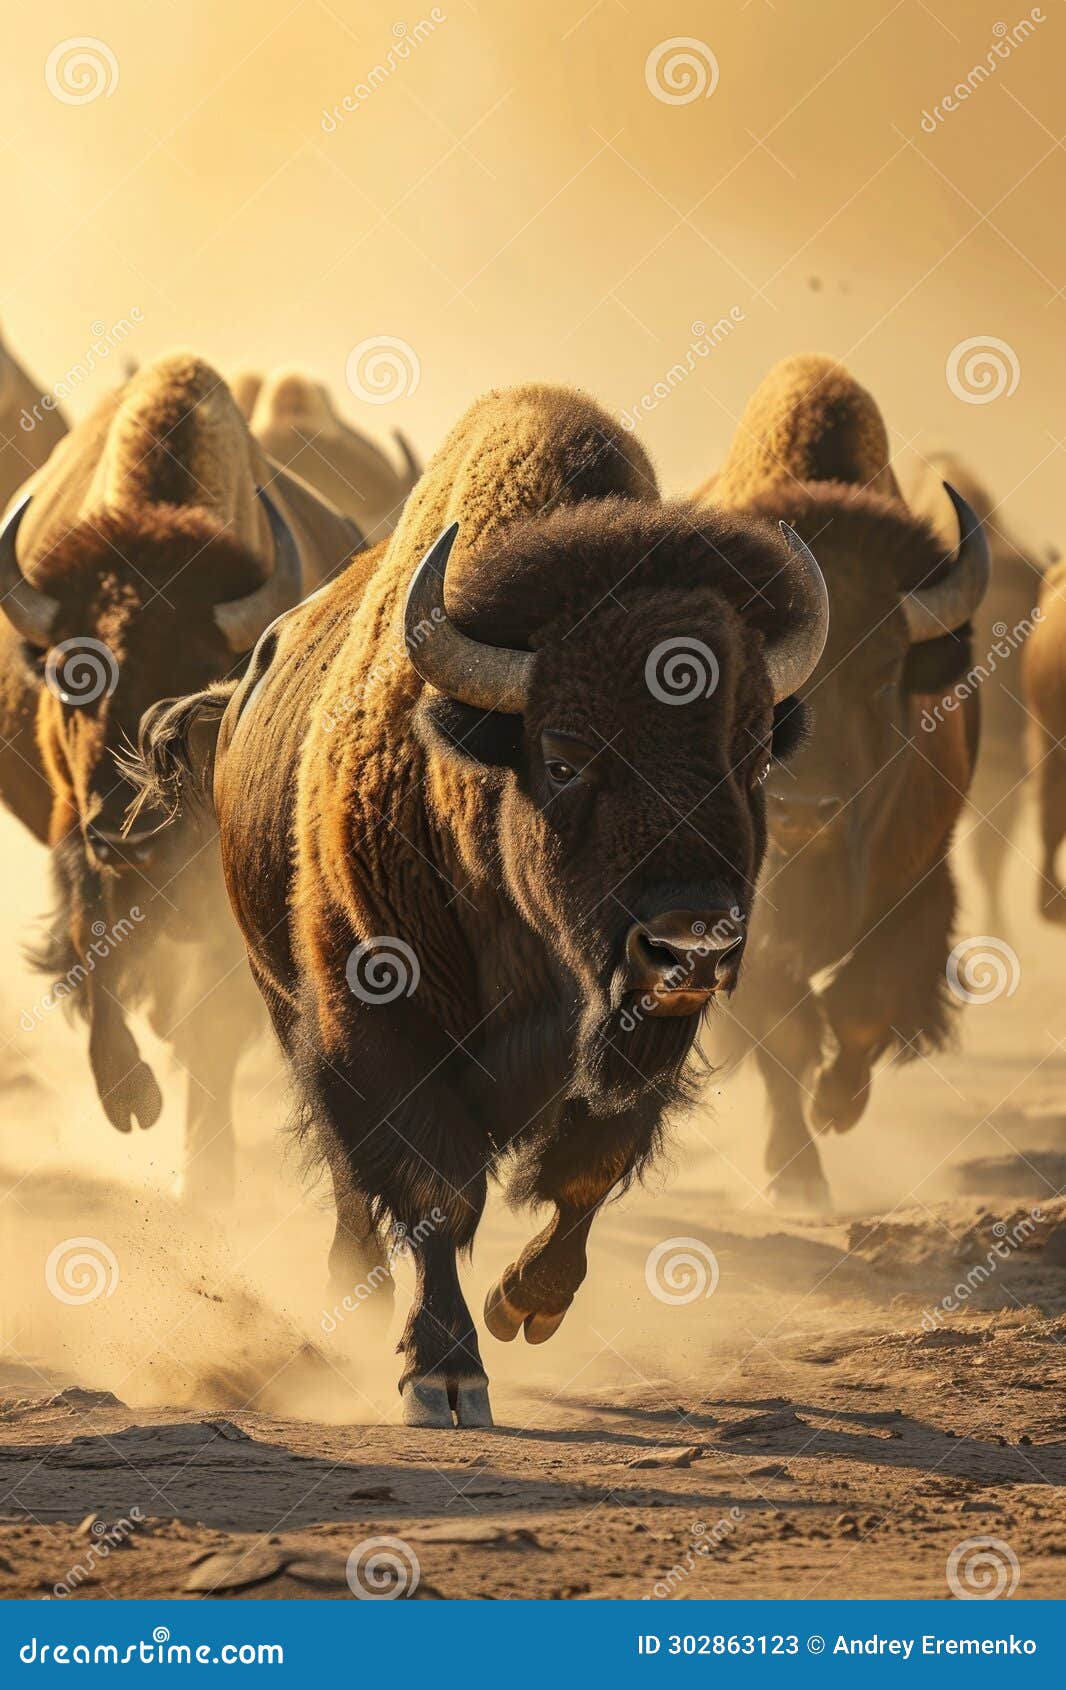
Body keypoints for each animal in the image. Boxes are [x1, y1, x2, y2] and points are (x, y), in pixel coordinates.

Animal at [0, 352, 361, 1198]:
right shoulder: (76, 833)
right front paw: (130, 1096)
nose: (129, 837)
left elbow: (212, 1024)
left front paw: (207, 1176)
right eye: (70, 676)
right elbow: (91, 939)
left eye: (200, 677)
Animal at [131, 381, 829, 1424]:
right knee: (347, 1168)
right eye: (566, 756)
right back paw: (352, 1287)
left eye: (750, 757)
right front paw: (444, 1373)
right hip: (282, 994)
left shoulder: (645, 1038)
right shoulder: (382, 1020)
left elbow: (590, 1163)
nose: (692, 947)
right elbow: (435, 1189)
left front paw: (524, 1303)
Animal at [708, 355, 989, 1210]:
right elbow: (784, 1027)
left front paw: (839, 1106)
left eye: (884, 671)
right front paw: (796, 1173)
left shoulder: (923, 885)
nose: (805, 809)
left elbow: (864, 1005)